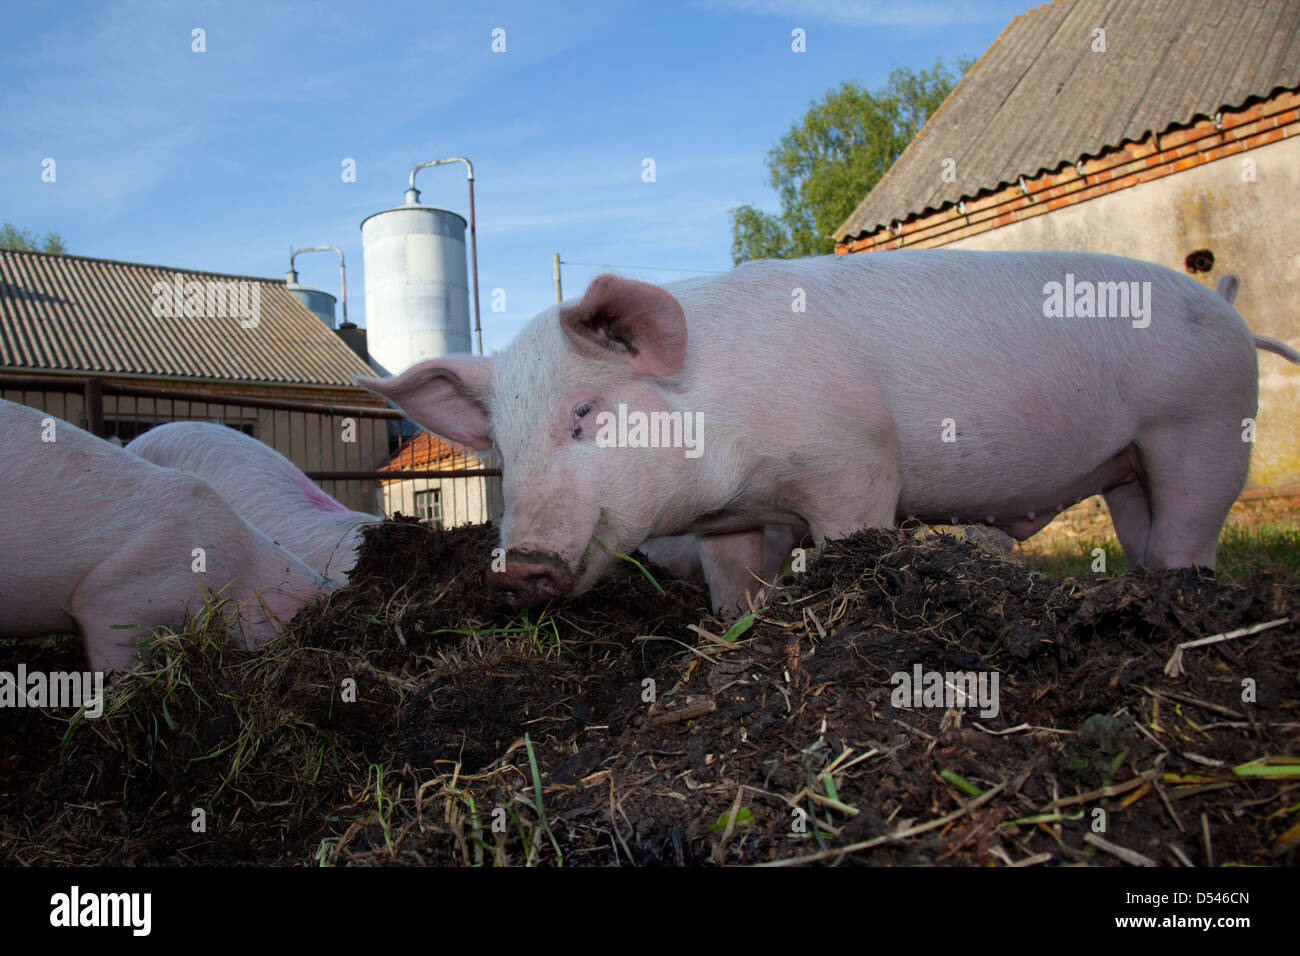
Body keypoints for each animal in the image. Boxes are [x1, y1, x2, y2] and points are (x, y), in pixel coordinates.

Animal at [357, 250, 1300, 612]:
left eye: (585, 413)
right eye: (502, 449)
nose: (518, 567)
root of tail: (1228, 311)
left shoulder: (857, 467)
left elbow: (854, 534)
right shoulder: (731, 522)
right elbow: (734, 586)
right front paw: (739, 631)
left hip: (1202, 426)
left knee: (1189, 532)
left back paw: (1185, 593)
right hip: (1130, 462)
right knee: (1144, 533)